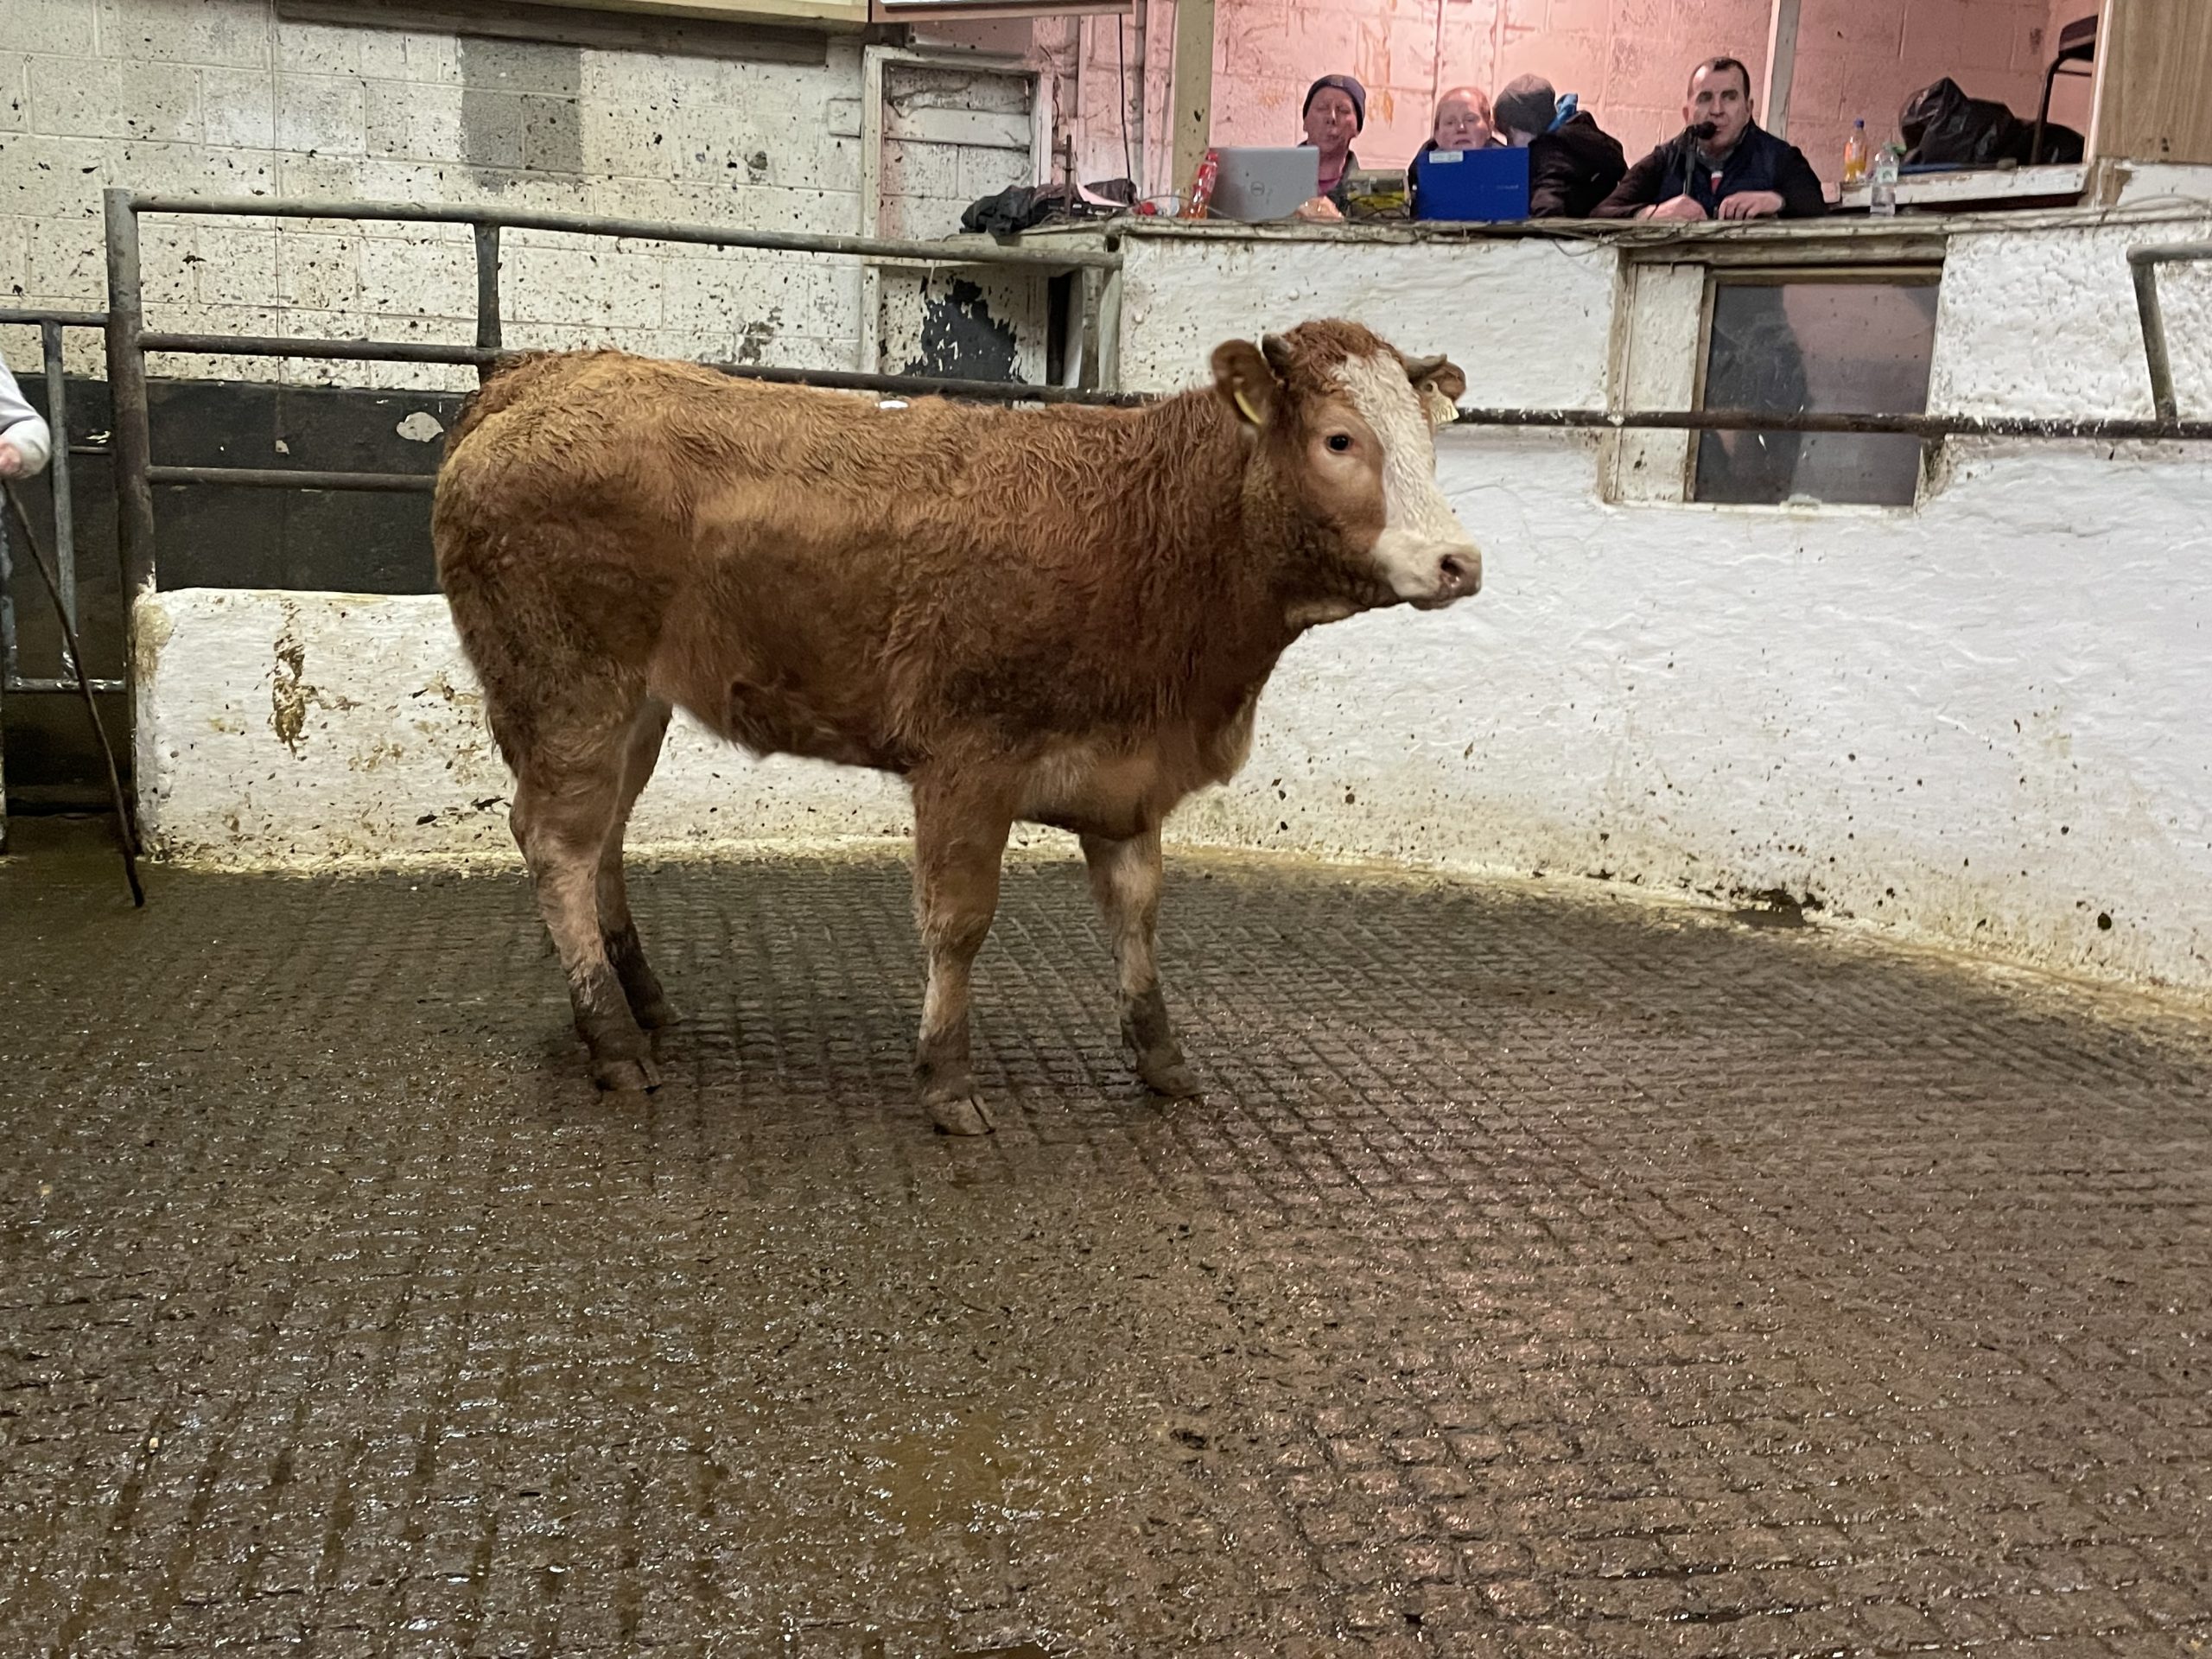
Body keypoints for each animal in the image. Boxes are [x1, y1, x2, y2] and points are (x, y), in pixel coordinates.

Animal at [432, 319, 1482, 1134]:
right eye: (1340, 440)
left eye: (1431, 449)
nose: (1460, 562)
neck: (1148, 530)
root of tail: (544, 374)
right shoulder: (967, 760)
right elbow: (960, 923)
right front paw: (946, 1081)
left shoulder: (1126, 780)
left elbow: (1136, 917)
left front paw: (1163, 1060)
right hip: (569, 682)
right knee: (558, 842)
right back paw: (610, 1038)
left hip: (634, 702)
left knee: (603, 834)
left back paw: (642, 999)